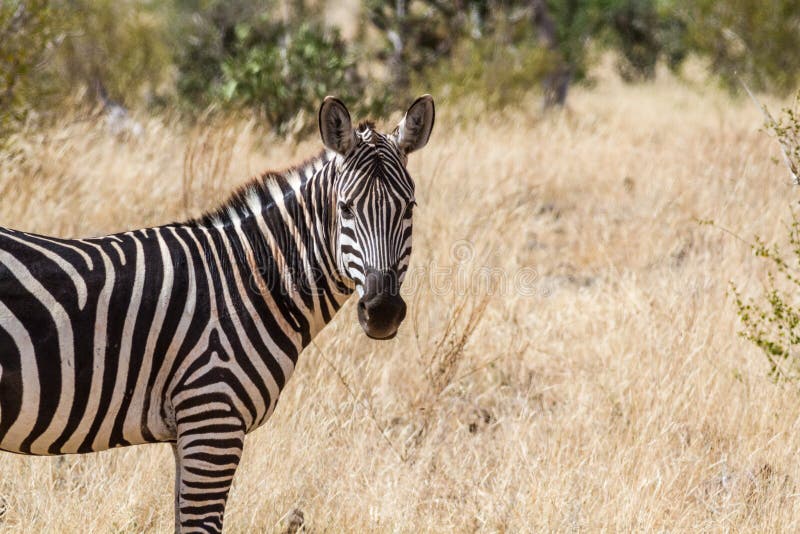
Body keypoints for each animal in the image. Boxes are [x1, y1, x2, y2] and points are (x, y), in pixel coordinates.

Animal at [0, 95, 435, 532]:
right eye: (345, 209)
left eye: (410, 207)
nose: (382, 311)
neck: (249, 279)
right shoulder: (212, 420)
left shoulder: (188, 431)